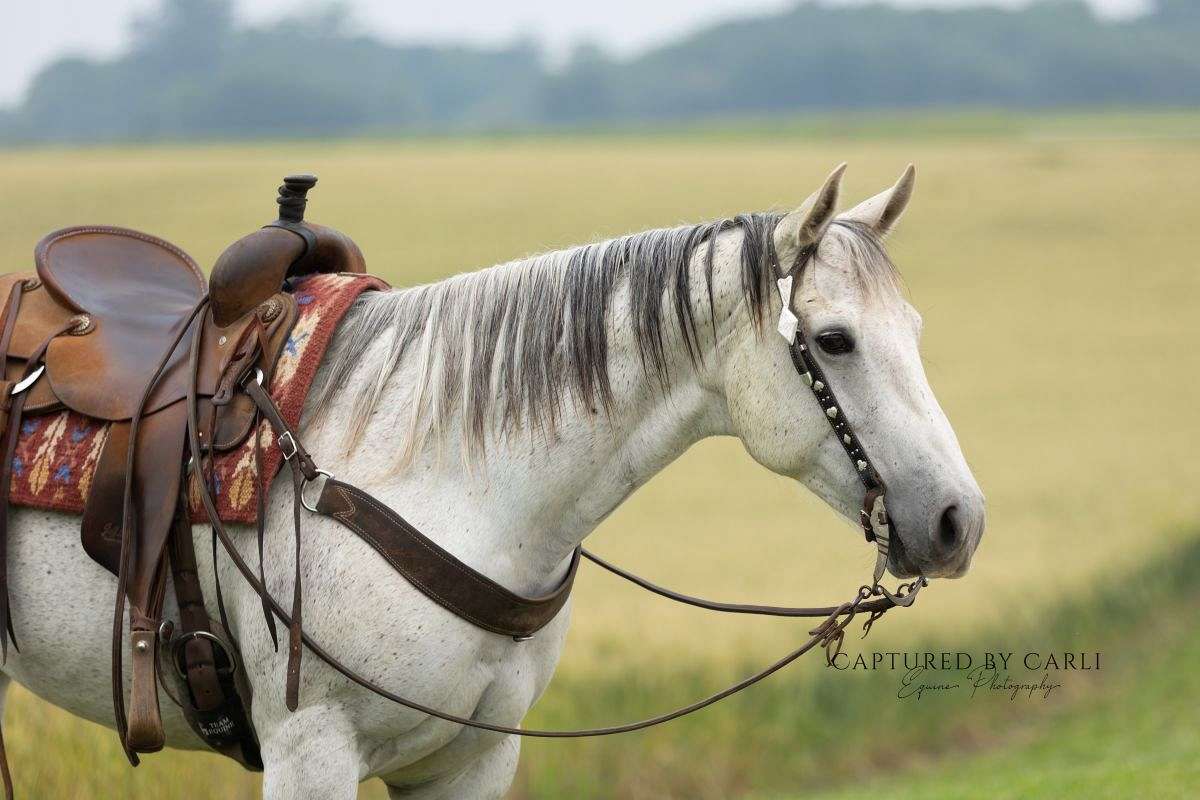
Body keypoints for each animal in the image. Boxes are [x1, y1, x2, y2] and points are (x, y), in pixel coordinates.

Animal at [0, 164, 984, 798]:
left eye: (914, 328)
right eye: (833, 341)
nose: (957, 521)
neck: (433, 477)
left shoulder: (470, 761)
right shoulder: (310, 753)